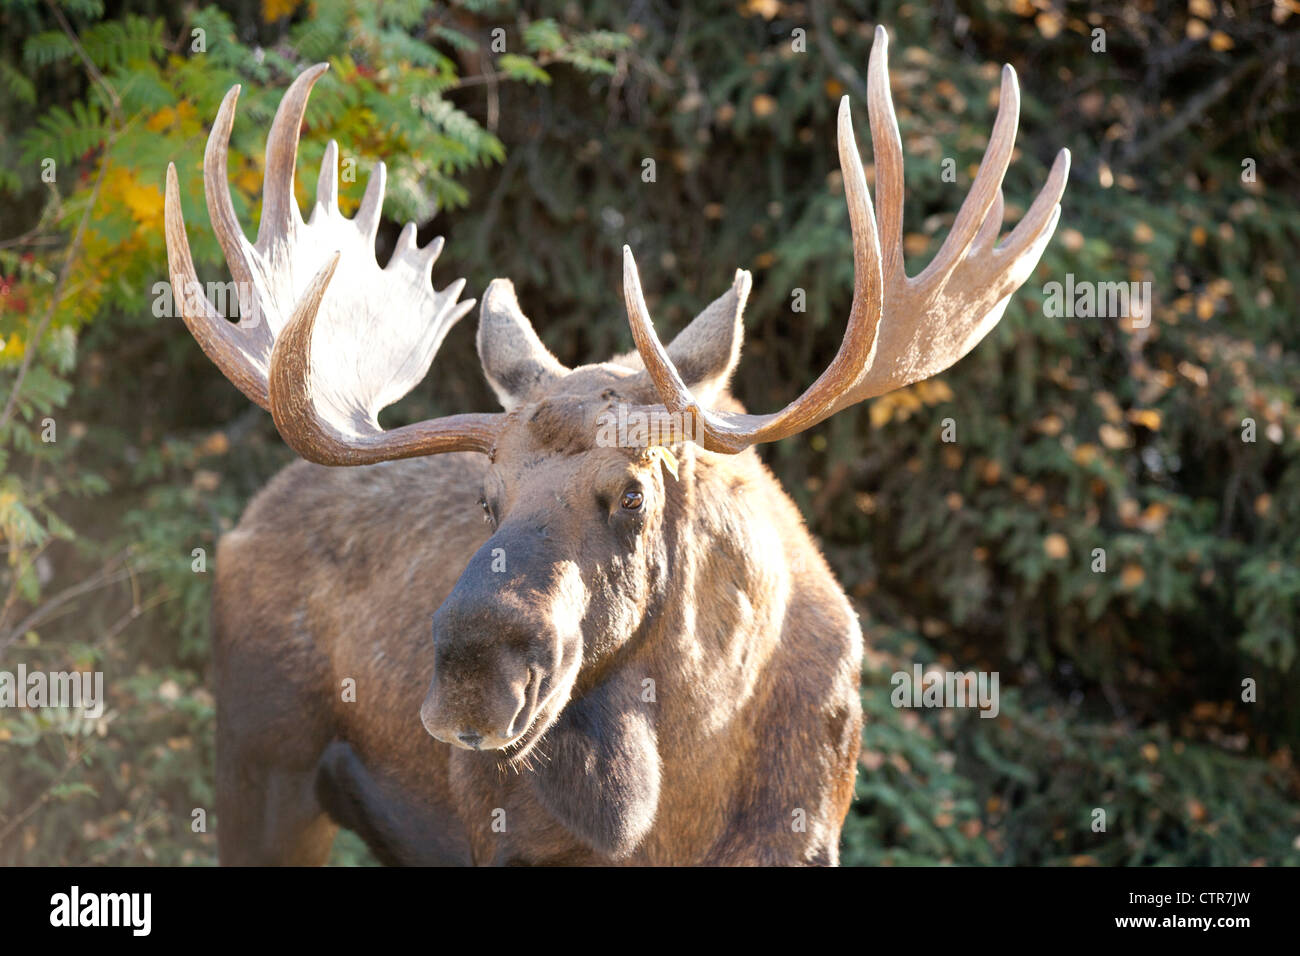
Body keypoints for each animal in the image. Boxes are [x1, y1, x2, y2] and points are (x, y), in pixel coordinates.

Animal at [162, 26, 1068, 866]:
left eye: (632, 492)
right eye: (486, 499)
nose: (474, 676)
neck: (676, 808)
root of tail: (249, 518)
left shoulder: (809, 836)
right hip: (261, 764)